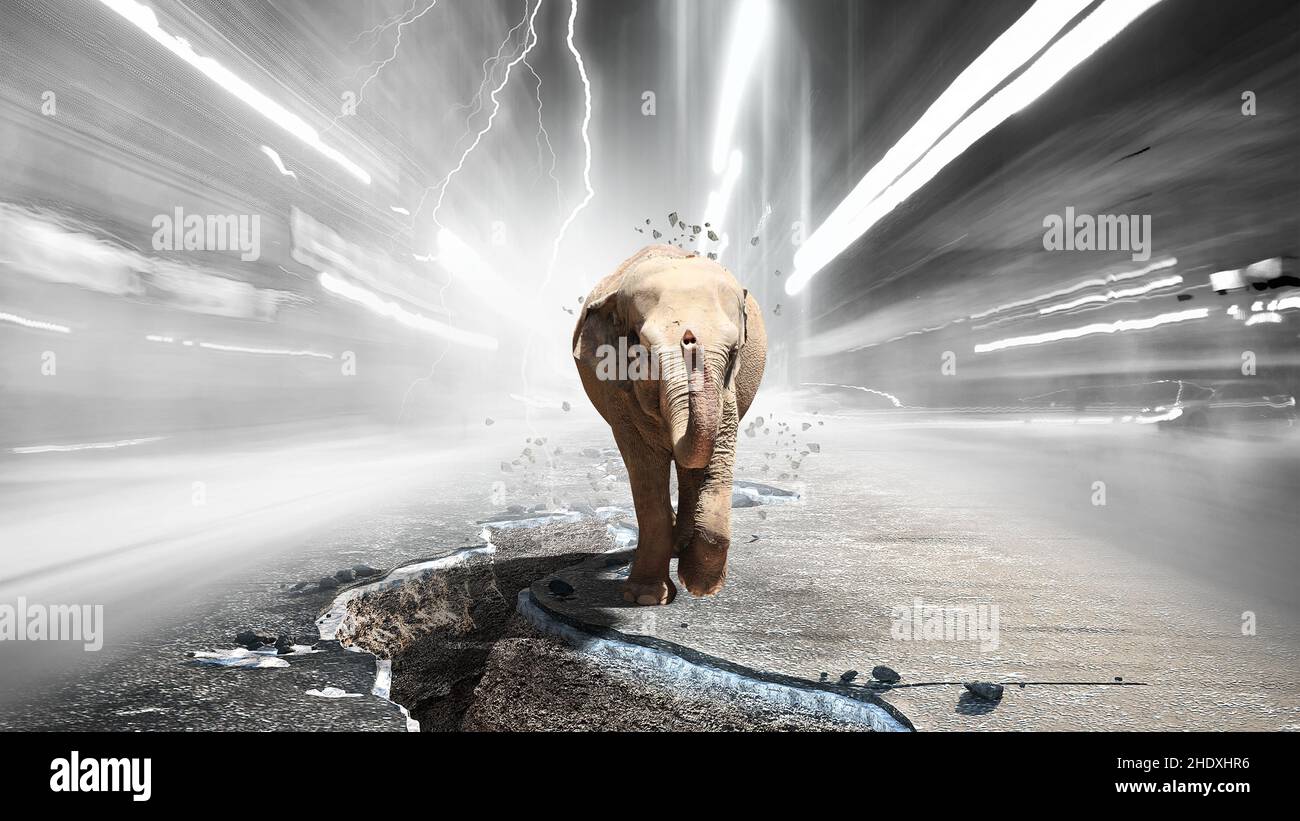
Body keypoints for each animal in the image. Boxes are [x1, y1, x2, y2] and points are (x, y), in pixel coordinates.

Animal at [572, 244, 766, 606]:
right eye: (643, 348)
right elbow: (645, 468)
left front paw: (700, 585)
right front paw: (645, 598)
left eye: (734, 350)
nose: (690, 338)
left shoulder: (727, 392)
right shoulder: (617, 393)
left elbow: (717, 451)